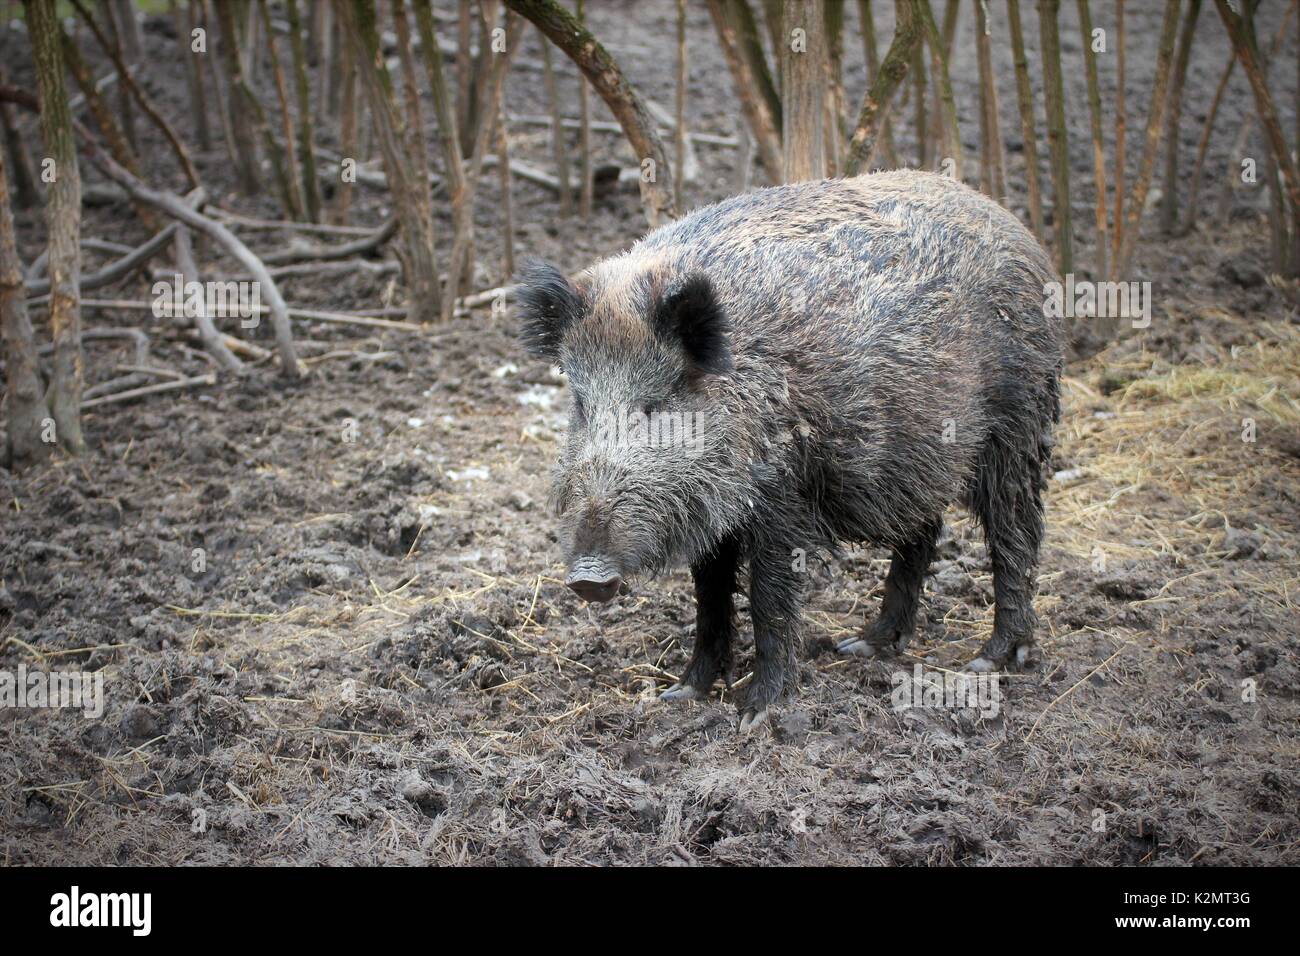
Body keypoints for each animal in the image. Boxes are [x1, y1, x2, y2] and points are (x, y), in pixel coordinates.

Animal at [517, 170, 1062, 731]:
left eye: (655, 405)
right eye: (581, 404)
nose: (587, 577)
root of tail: (1012, 224)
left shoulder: (784, 499)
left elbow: (768, 599)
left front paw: (757, 715)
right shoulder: (715, 515)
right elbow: (709, 598)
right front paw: (682, 695)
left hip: (1019, 423)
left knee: (1014, 531)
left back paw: (991, 660)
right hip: (918, 455)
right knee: (922, 532)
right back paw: (862, 647)